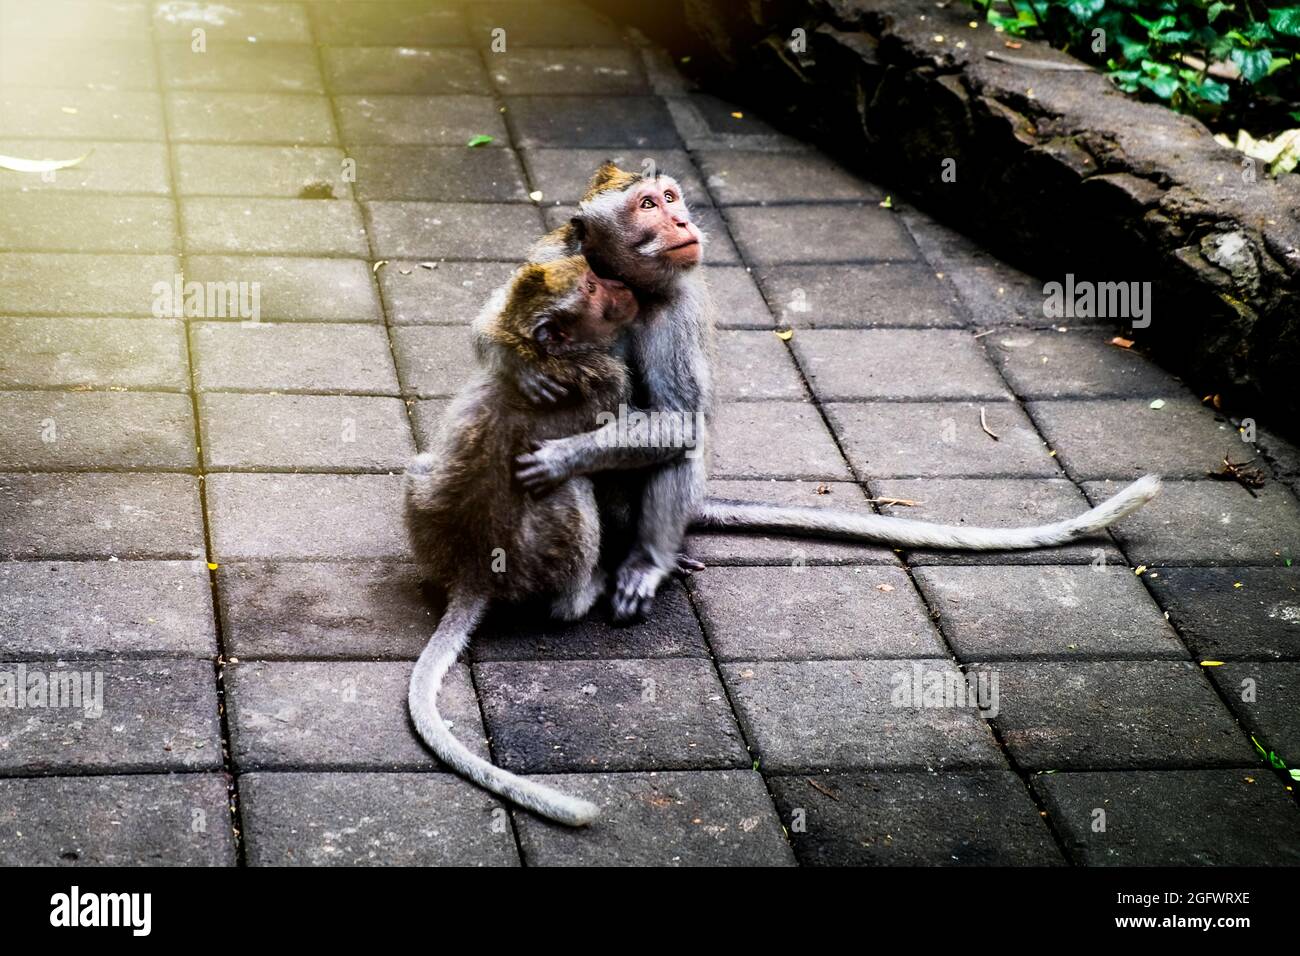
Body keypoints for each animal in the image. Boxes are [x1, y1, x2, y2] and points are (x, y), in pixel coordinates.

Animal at [404, 254, 638, 827]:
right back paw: (584, 593)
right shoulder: (609, 376)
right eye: (594, 287)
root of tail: (473, 569)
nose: (620, 285)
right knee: (575, 488)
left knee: (420, 467)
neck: (552, 352)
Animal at [479, 162, 1161, 621]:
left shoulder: (679, 300)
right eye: (649, 204)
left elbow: (681, 421)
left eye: (671, 197)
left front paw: (562, 455)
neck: (623, 284)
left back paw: (647, 559)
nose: (682, 219)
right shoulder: (553, 253)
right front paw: (523, 368)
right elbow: (488, 327)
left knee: (679, 444)